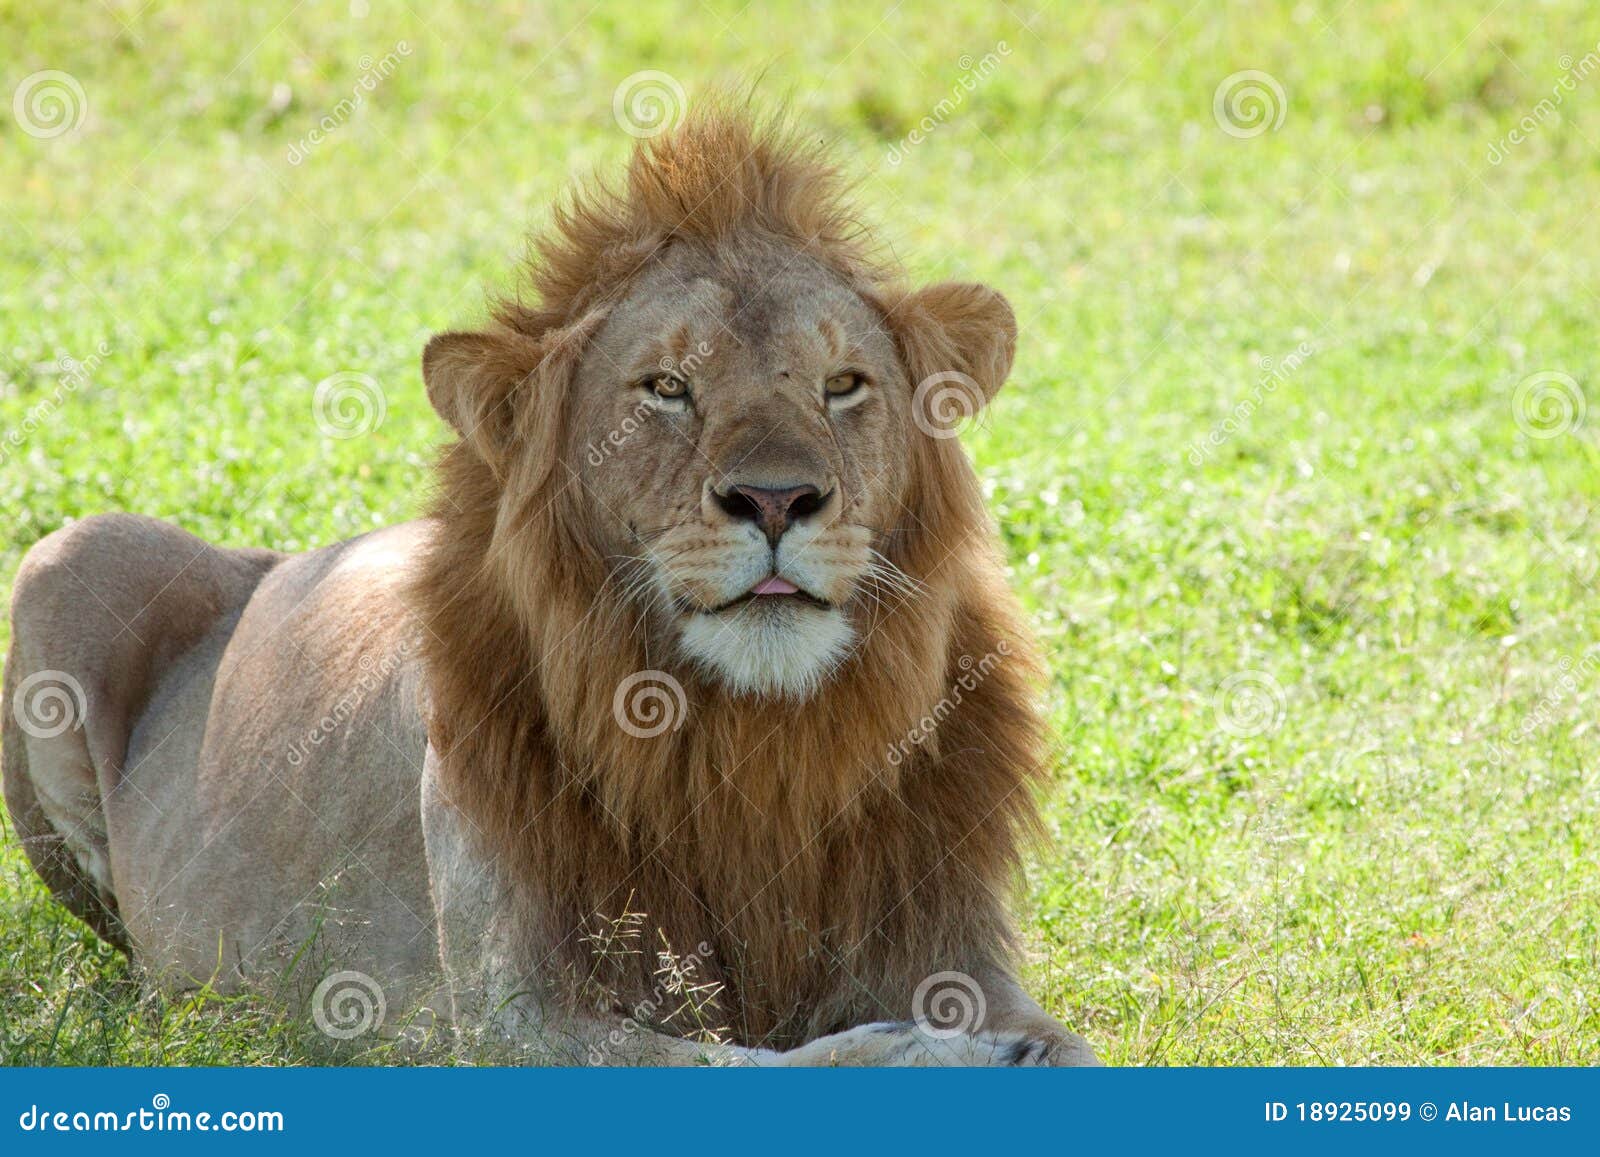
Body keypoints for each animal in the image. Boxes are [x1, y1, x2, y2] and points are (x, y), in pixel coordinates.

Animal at [1, 105, 1097, 1066]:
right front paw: (940, 1054)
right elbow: (777, 1063)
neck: (754, 739)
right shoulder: (510, 1016)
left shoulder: (952, 944)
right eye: (667, 389)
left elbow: (1070, 1045)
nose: (778, 497)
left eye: (843, 386)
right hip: (68, 555)